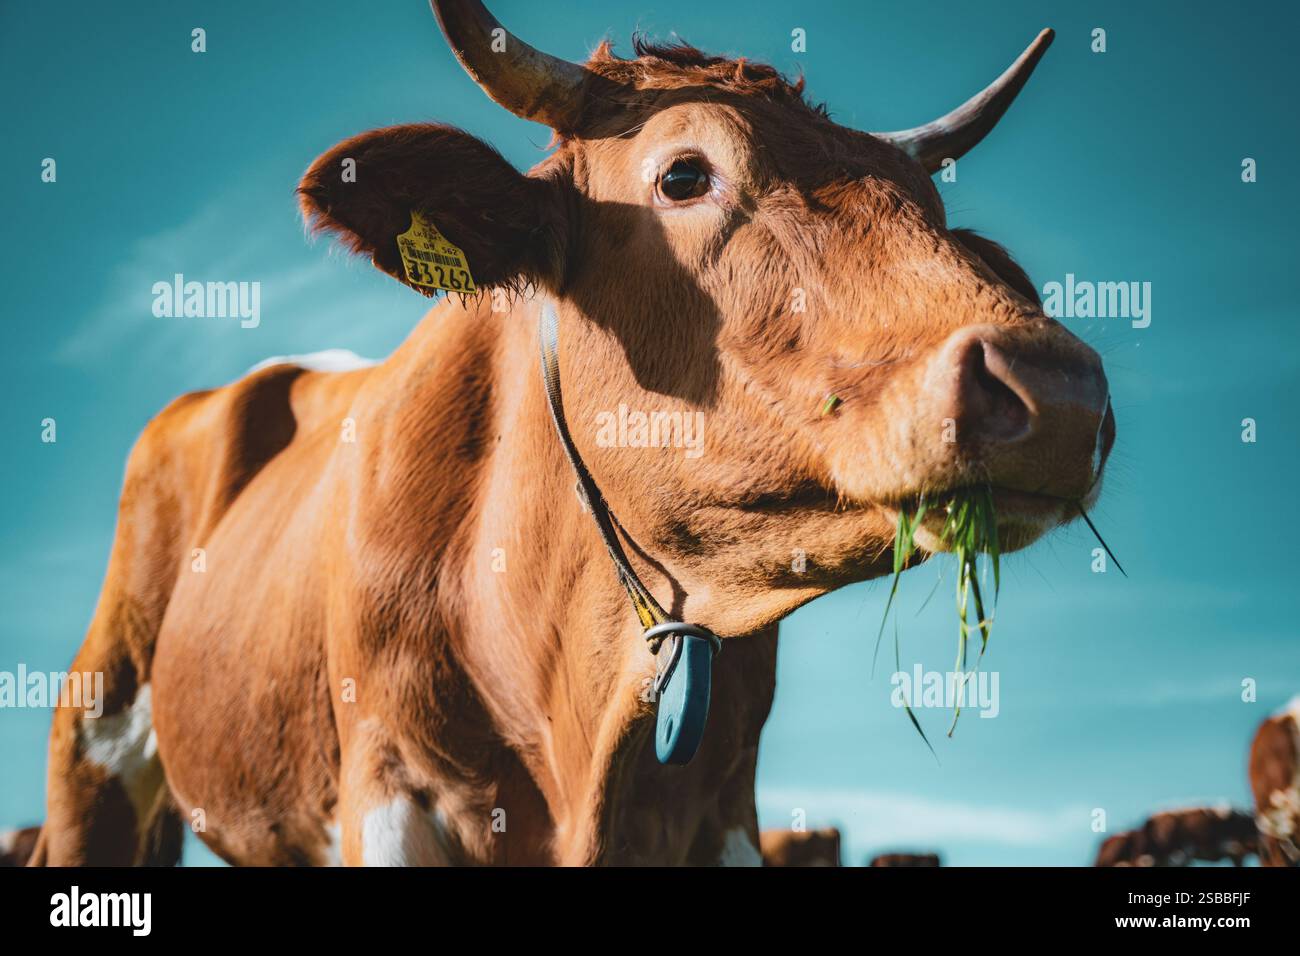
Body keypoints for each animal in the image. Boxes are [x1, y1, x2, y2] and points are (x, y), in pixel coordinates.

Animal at [26, 0, 1113, 866]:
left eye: (930, 209)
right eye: (684, 175)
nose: (1055, 388)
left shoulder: (721, 808)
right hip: (96, 744)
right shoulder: (388, 789)